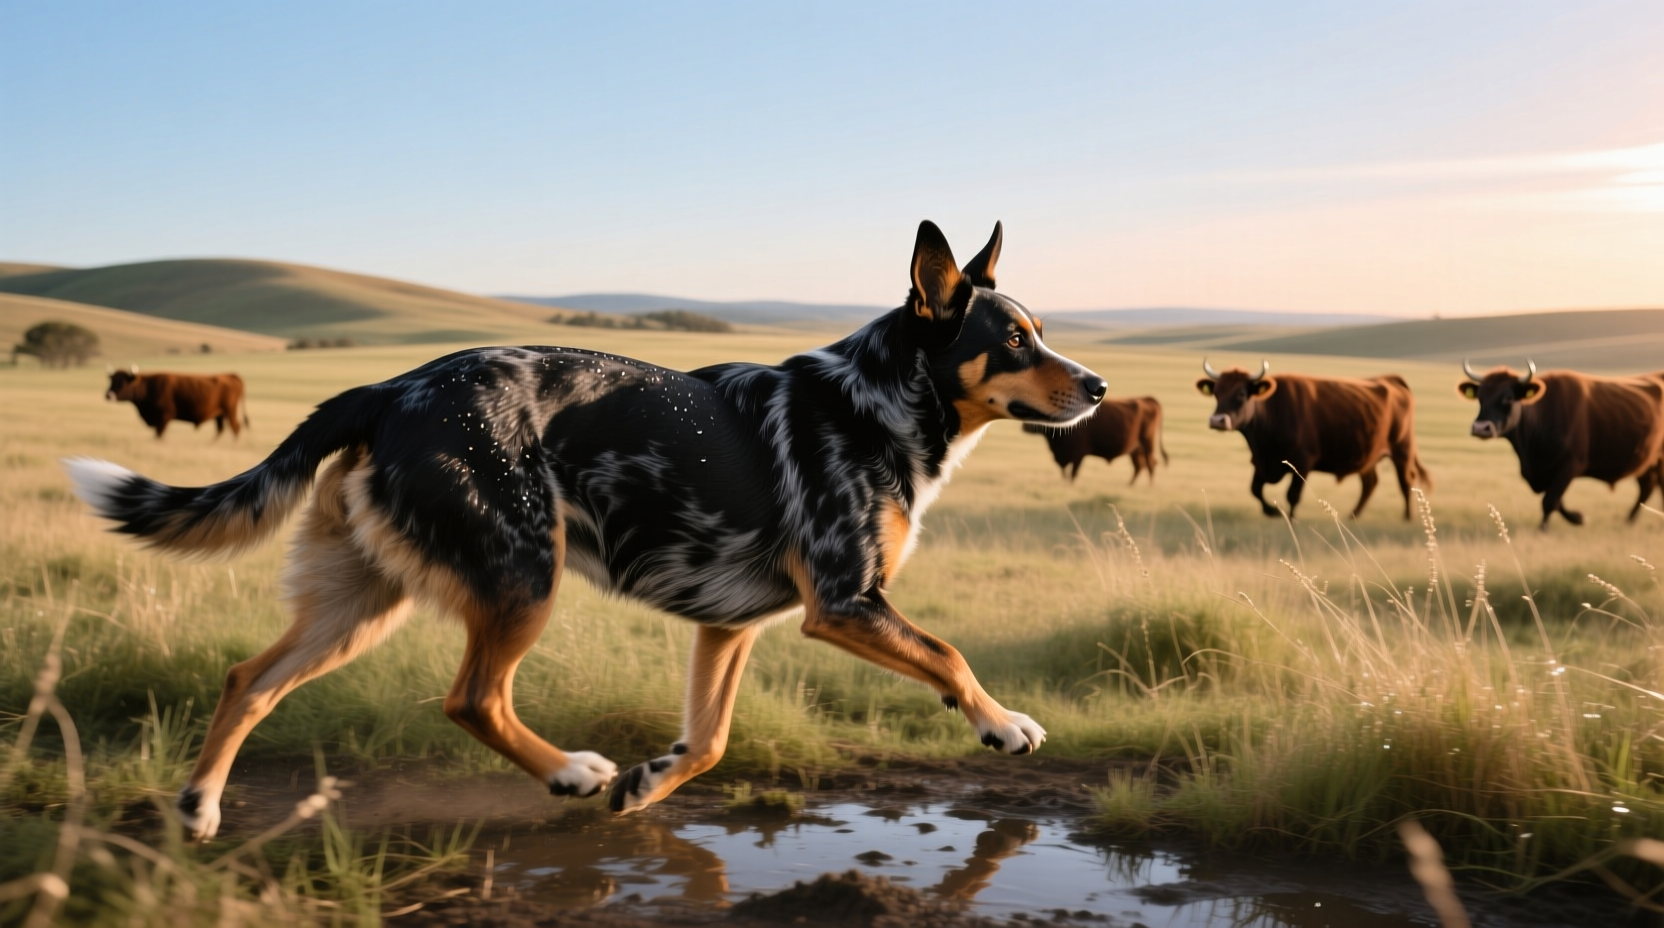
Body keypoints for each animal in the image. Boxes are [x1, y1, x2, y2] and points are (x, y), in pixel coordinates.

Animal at [104, 366, 250, 439]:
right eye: (111, 380)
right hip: (219, 415)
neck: (148, 386)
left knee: (236, 428)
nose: (108, 395)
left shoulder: (164, 417)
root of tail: (232, 375)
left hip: (230, 411)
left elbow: (159, 436)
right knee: (221, 430)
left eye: (122, 383)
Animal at [1023, 396, 1168, 484]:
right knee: (1140, 466)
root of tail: (1148, 399)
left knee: (1150, 464)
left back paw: (1149, 487)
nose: (1024, 426)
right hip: (1136, 449)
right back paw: (1130, 486)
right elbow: (1066, 473)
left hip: (1147, 444)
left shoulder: (1079, 454)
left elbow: (1073, 474)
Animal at [1197, 359, 1431, 519]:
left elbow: (1292, 495)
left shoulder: (1302, 463)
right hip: (1368, 455)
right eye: (1217, 392)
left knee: (1405, 481)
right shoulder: (1261, 463)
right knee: (1370, 483)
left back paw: (1407, 518)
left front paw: (1291, 519)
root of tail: (1390, 379)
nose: (1217, 420)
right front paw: (1272, 511)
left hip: (1402, 450)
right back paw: (1353, 516)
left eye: (1242, 394)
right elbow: (1255, 490)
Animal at [1459, 359, 1664, 527]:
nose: (1480, 428)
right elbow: (1555, 499)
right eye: (1480, 396)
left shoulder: (1571, 464)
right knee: (1648, 486)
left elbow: (1550, 500)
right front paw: (1577, 518)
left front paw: (1544, 529)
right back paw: (1629, 521)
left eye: (1508, 397)